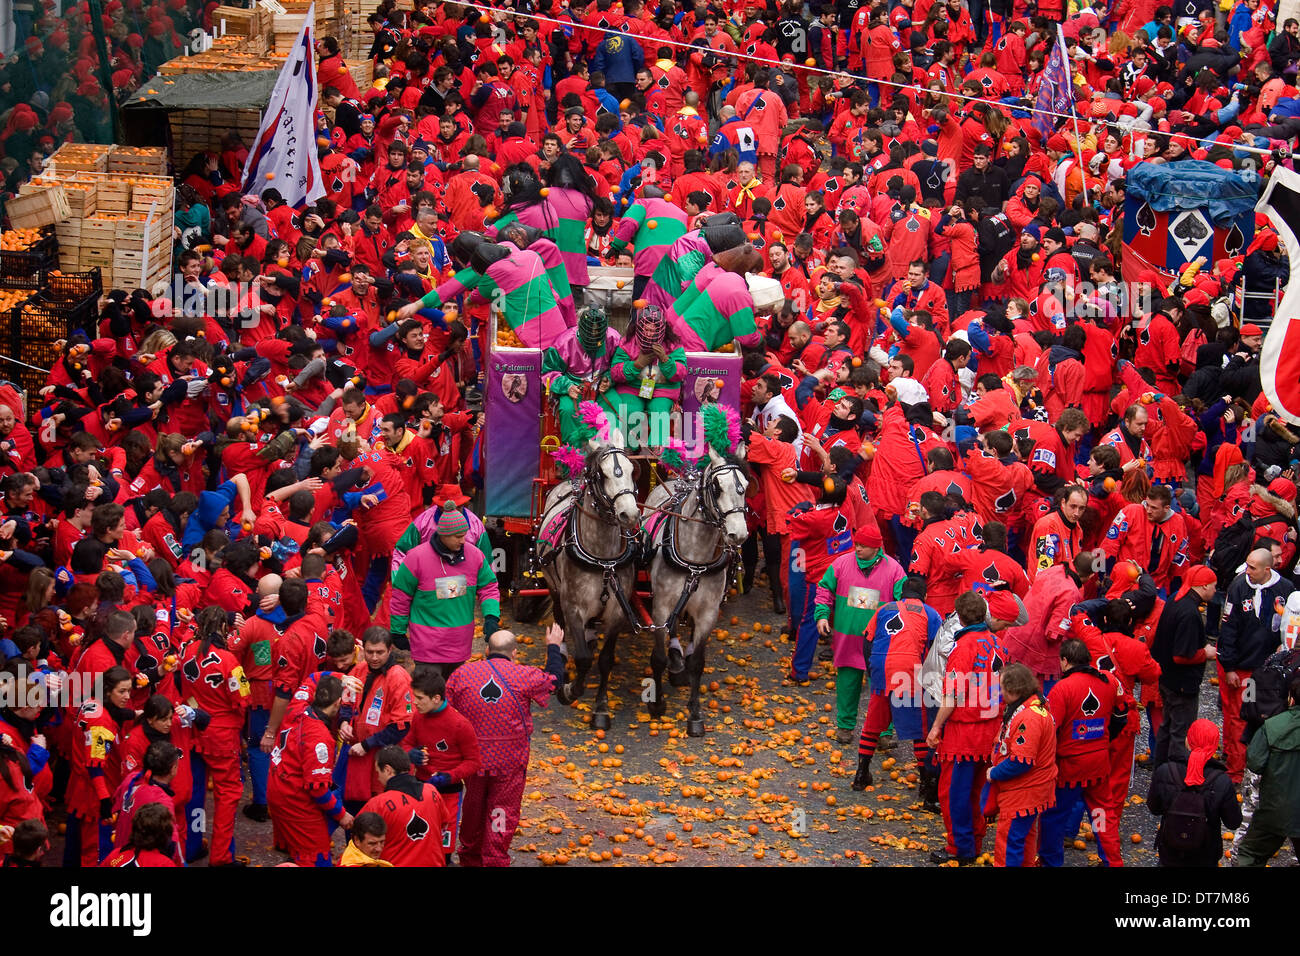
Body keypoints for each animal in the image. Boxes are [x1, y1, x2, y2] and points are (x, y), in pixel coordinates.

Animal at [535, 429, 642, 728]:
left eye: (632, 470)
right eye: (602, 475)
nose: (630, 514)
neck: (603, 558)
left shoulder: (618, 610)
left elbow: (604, 660)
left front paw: (601, 708)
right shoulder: (573, 606)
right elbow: (582, 658)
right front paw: (569, 691)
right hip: (553, 586)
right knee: (558, 617)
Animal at [642, 444, 748, 738]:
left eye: (745, 486)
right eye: (717, 486)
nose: (739, 534)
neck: (696, 559)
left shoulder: (708, 611)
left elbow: (698, 662)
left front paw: (695, 715)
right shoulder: (661, 607)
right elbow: (658, 656)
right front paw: (657, 704)